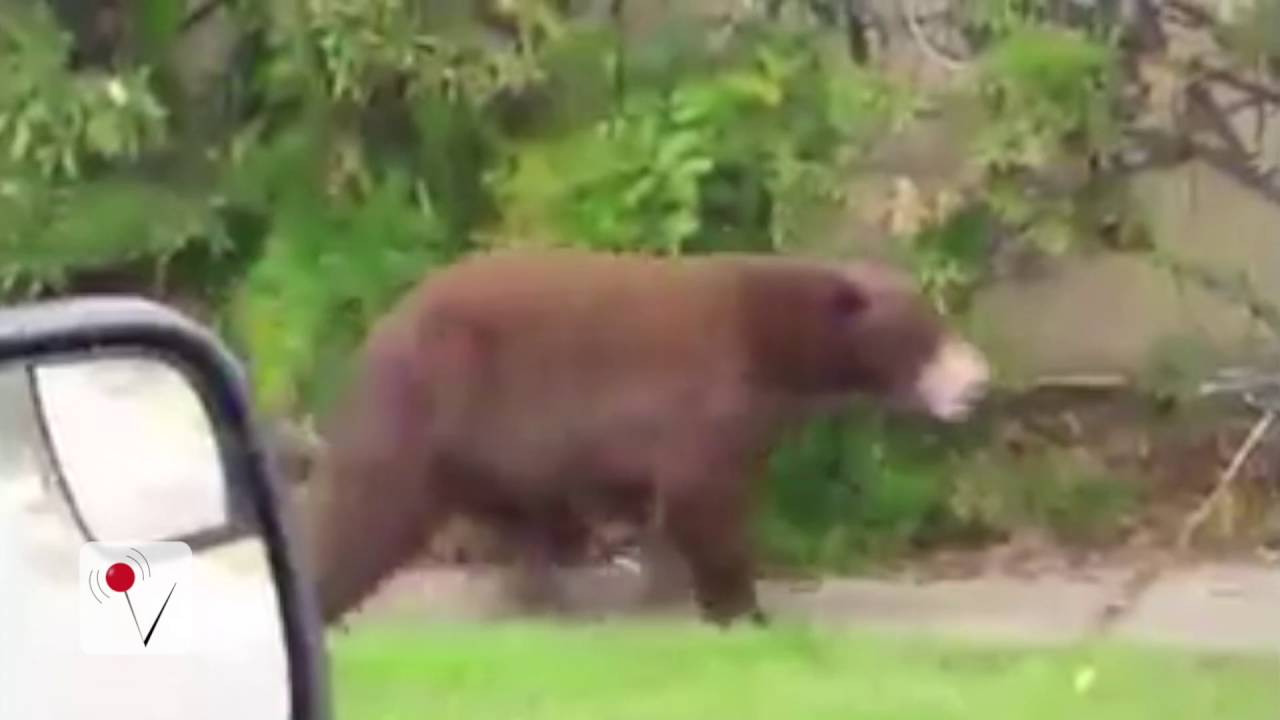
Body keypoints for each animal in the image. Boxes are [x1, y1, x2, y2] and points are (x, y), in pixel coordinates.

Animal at [303, 248, 990, 626]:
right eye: (929, 329)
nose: (981, 381)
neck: (772, 345)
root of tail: (380, 331)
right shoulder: (705, 394)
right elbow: (704, 496)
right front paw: (743, 608)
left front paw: (666, 591)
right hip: (432, 408)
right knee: (369, 508)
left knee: (519, 515)